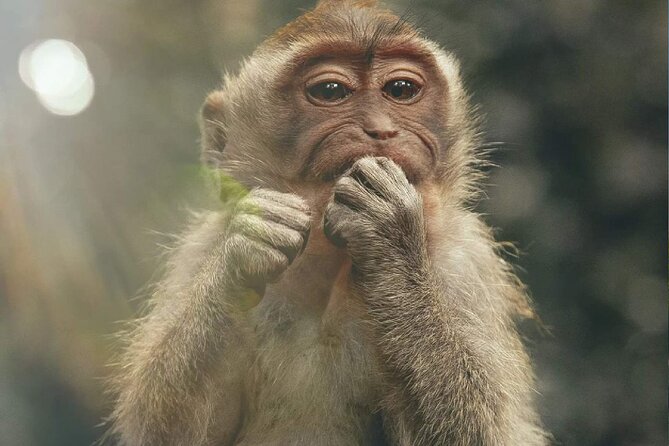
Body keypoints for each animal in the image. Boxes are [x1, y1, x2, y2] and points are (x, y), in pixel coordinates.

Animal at [108, 1, 548, 445]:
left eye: (401, 89)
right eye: (330, 91)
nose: (381, 129)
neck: (329, 265)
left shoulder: (464, 262)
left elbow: (482, 433)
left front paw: (388, 234)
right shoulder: (199, 248)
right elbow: (165, 432)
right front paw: (242, 255)